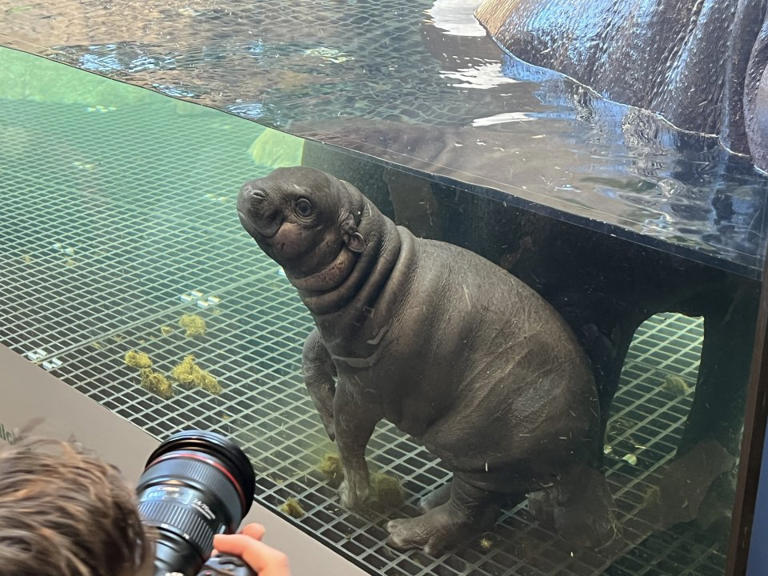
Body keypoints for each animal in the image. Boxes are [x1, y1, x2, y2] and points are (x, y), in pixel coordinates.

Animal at [237, 166, 615, 554]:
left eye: (304, 206)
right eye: (280, 173)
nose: (252, 189)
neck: (373, 266)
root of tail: (587, 459)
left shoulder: (362, 388)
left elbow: (349, 438)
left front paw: (352, 496)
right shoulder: (341, 342)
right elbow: (310, 356)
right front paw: (326, 418)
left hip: (483, 454)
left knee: (467, 510)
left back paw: (405, 532)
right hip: (495, 467)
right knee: (492, 505)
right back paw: (429, 501)